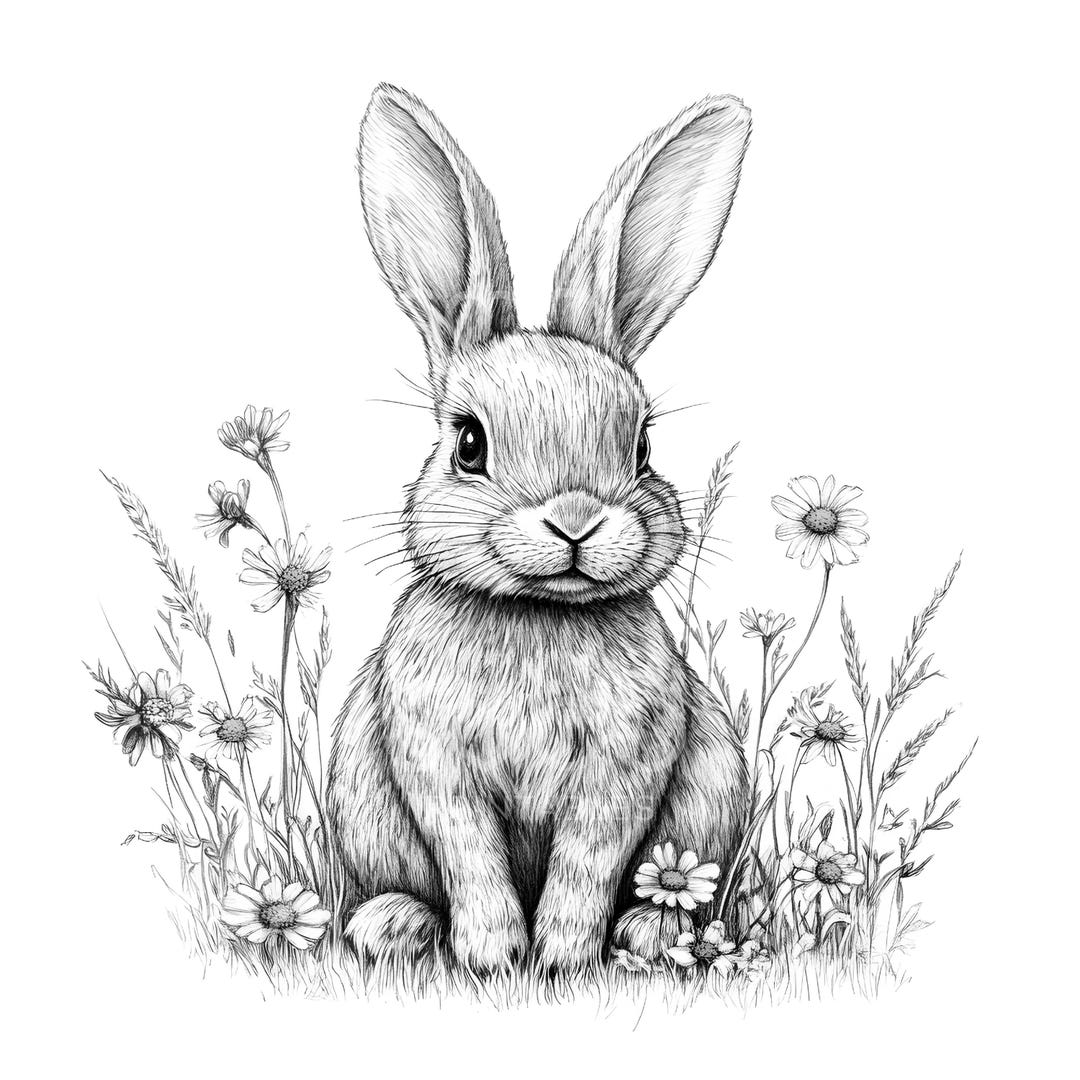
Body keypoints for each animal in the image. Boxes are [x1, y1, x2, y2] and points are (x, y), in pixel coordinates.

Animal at [327, 83, 751, 974]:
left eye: (642, 445)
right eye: (468, 443)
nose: (576, 521)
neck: (539, 616)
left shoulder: (627, 766)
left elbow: (590, 857)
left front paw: (561, 957)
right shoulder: (434, 762)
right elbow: (471, 853)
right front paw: (494, 956)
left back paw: (653, 932)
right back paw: (393, 926)